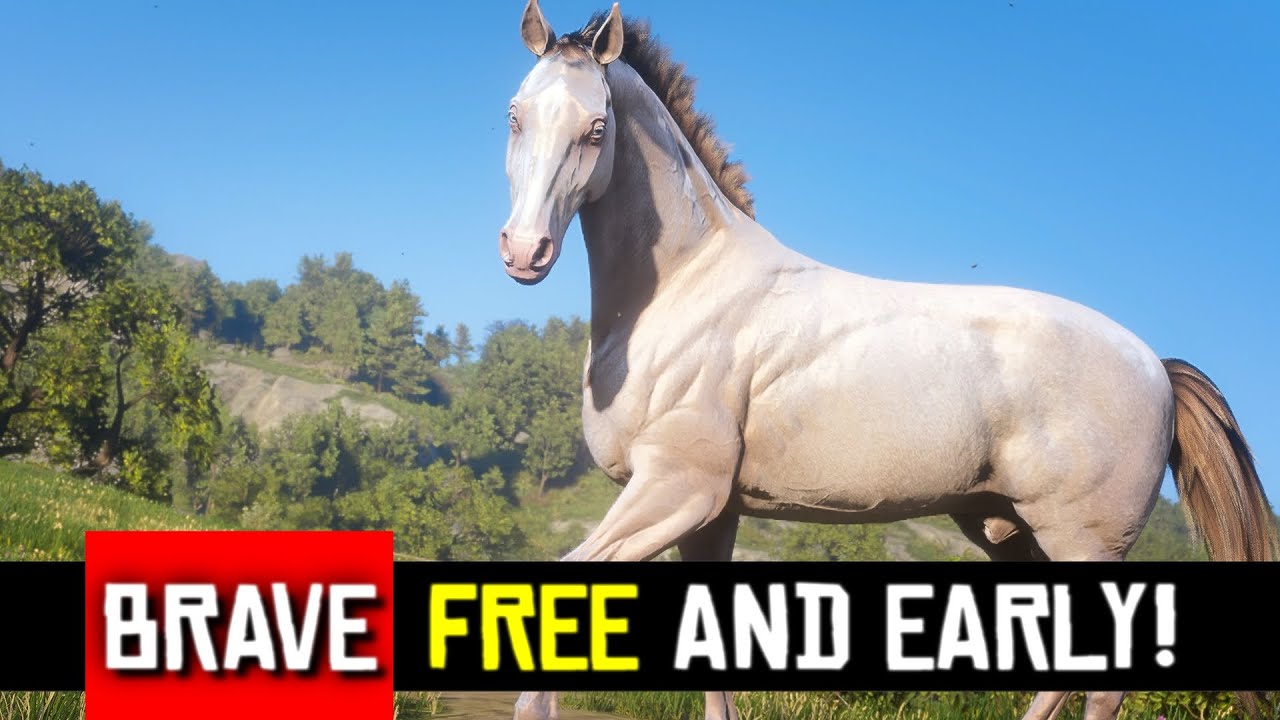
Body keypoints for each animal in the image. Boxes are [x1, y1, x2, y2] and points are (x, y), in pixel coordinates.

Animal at [496, 2, 1279, 719]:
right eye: (515, 114)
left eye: (596, 127)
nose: (524, 252)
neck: (683, 292)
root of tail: (1156, 366)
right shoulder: (709, 516)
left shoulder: (674, 489)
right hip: (1005, 530)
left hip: (1084, 545)